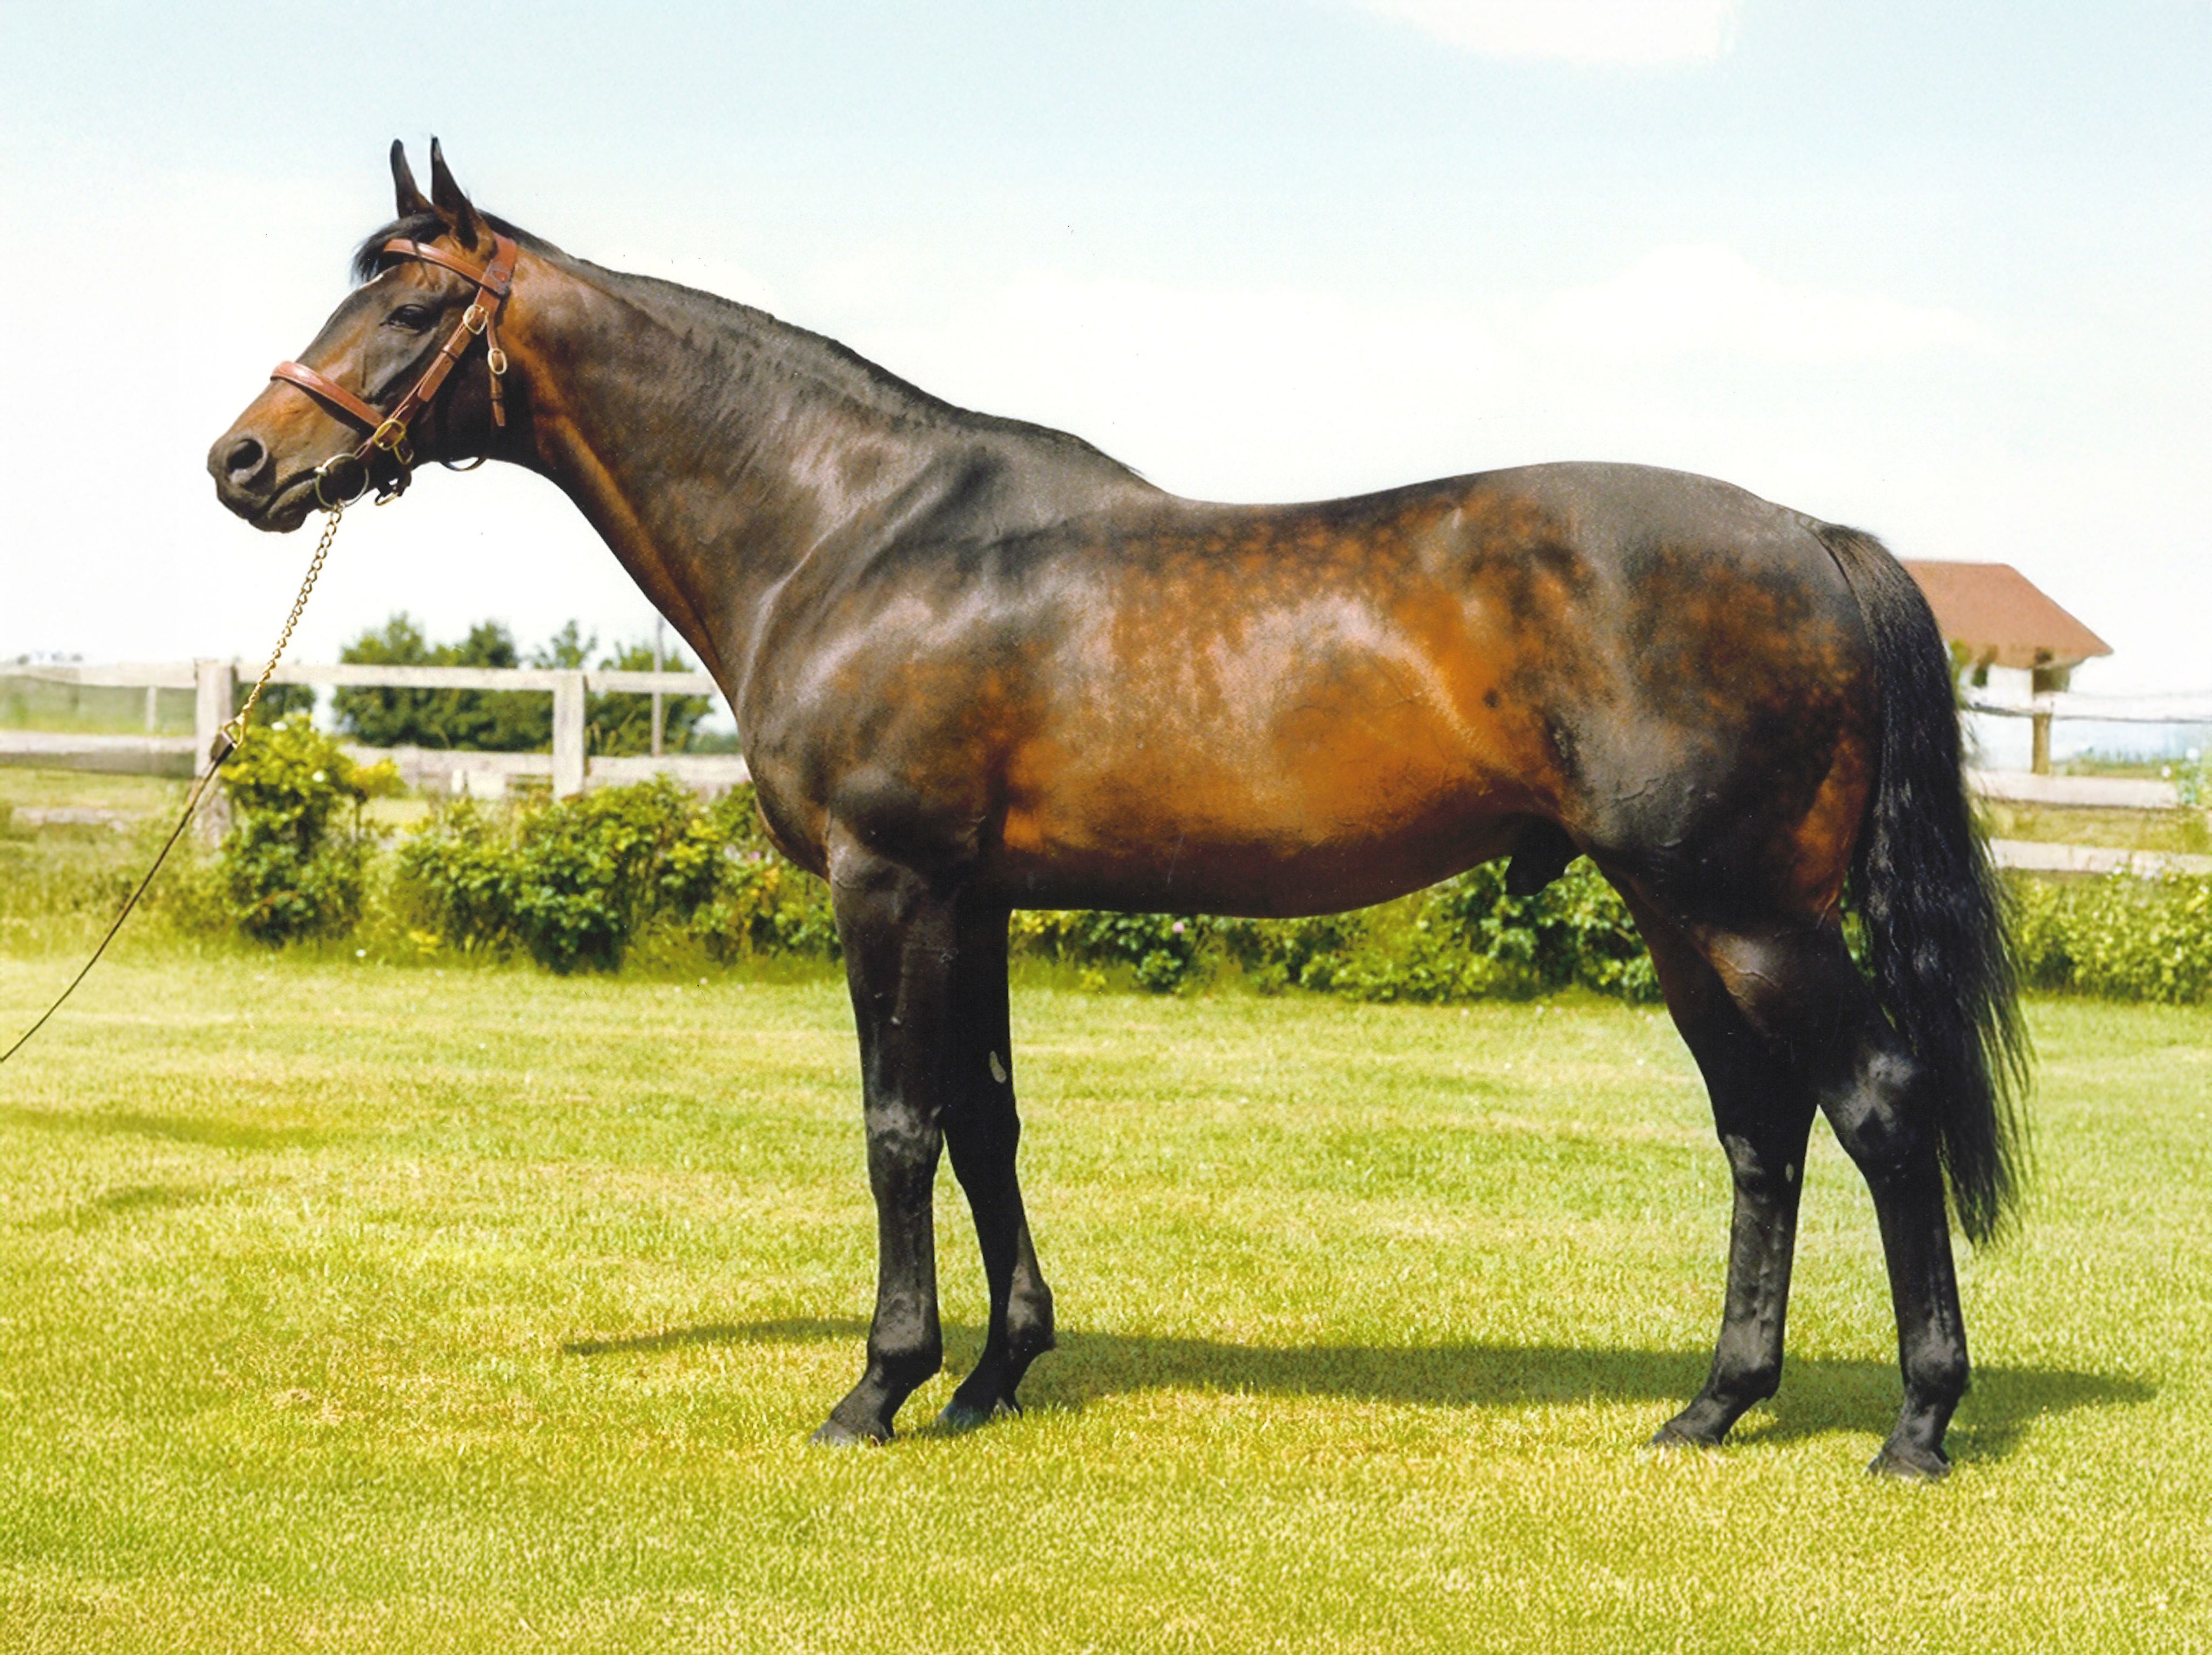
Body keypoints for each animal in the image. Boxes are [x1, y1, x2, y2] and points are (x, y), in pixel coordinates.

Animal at [209, 141, 2026, 1477]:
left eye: (411, 305)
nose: (242, 464)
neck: (852, 532)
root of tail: (1815, 540)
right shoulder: (974, 896)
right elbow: (988, 1121)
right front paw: (996, 1374)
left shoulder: (889, 882)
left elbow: (900, 1126)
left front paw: (880, 1387)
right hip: (1680, 914)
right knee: (1762, 1131)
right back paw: (1714, 1404)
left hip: (1746, 911)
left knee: (1876, 1105)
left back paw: (1919, 1423)